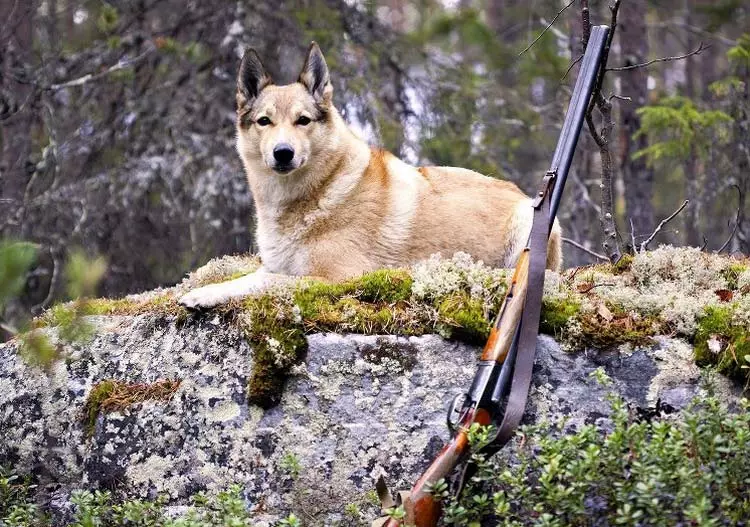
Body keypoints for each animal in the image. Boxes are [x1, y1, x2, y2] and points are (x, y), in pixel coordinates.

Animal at [179, 44, 560, 310]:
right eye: (264, 121)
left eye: (303, 120)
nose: (283, 153)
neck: (319, 192)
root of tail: (521, 193)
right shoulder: (274, 264)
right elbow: (246, 279)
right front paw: (205, 292)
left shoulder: (335, 278)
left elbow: (271, 283)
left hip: (526, 224)